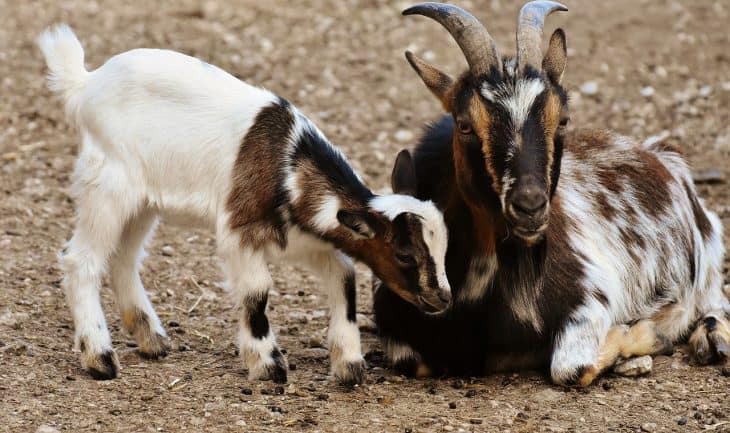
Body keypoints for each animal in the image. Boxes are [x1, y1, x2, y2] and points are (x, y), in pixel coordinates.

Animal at [38, 25, 451, 385]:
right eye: (404, 254)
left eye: (443, 248)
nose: (443, 298)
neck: (288, 163)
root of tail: (86, 84)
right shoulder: (241, 231)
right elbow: (257, 293)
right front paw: (268, 365)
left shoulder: (302, 237)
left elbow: (345, 275)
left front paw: (348, 364)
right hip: (108, 186)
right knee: (81, 260)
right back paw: (99, 358)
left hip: (142, 202)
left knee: (123, 257)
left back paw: (151, 339)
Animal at [373, 1, 729, 386]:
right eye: (465, 124)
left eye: (562, 120)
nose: (530, 206)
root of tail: (663, 154)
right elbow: (410, 360)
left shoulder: (590, 298)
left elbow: (570, 368)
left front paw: (648, 334)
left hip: (708, 253)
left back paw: (713, 336)